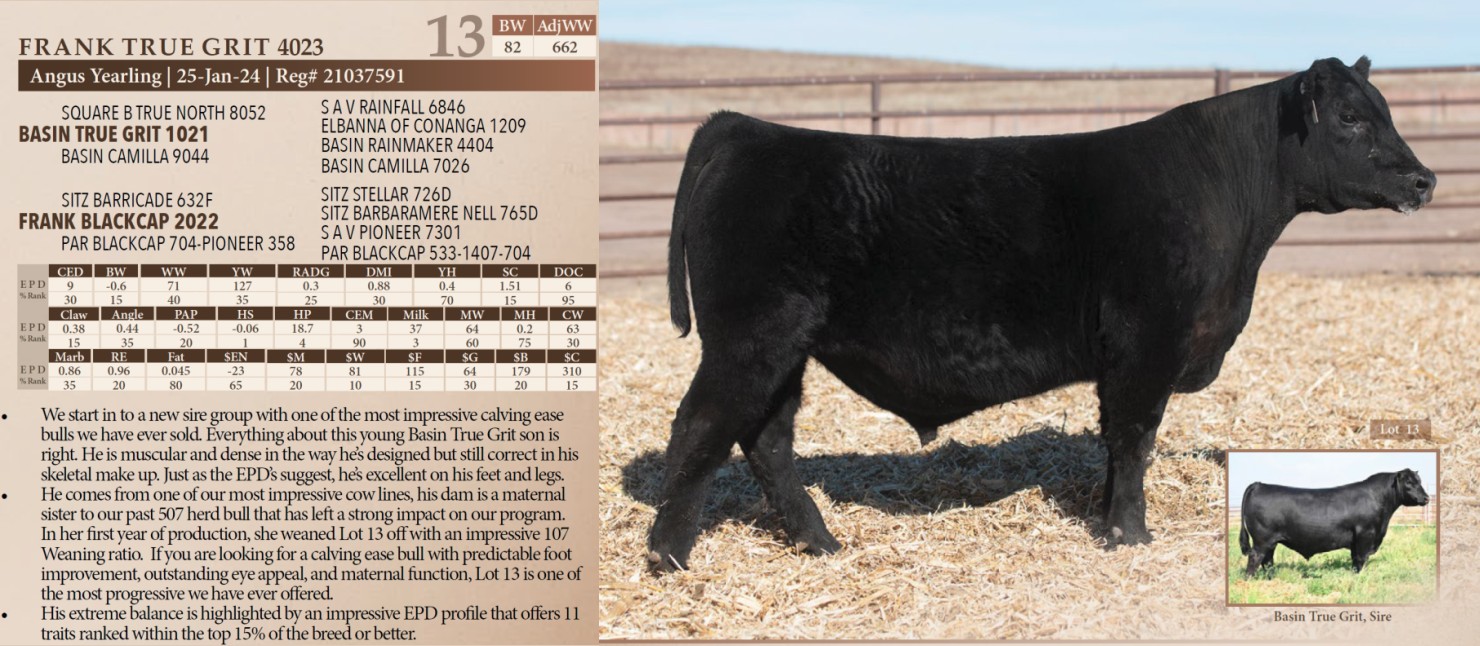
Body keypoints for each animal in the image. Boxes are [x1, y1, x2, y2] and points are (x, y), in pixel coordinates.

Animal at [1239, 469, 1430, 575]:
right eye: (1409, 482)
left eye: (1419, 481)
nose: (1426, 498)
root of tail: (1259, 484)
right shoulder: (1365, 535)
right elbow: (1361, 560)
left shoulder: (1356, 541)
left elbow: (1354, 561)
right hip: (1262, 540)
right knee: (1255, 559)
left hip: (1270, 542)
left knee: (1268, 561)